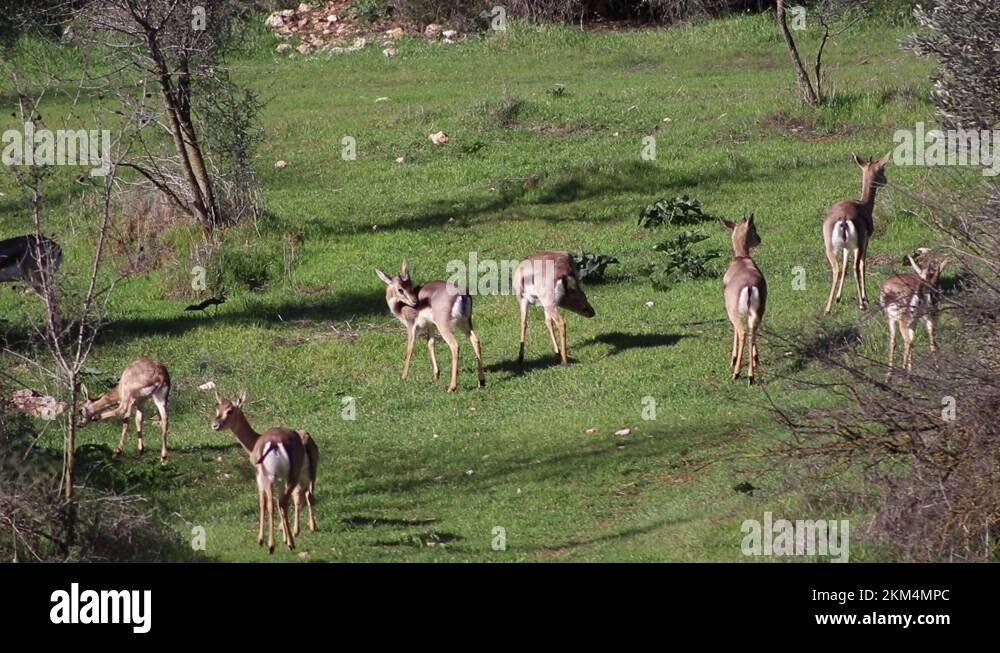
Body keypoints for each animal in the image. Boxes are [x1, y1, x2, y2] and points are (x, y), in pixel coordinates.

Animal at [211, 391, 319, 554]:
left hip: (270, 476)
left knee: (276, 502)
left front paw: (261, 540)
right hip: (305, 472)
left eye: (230, 410)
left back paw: (275, 543)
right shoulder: (281, 479)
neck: (253, 443)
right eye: (217, 408)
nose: (215, 425)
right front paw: (284, 536)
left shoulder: (258, 475)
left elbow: (262, 503)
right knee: (303, 495)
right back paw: (304, 531)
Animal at [375, 261, 485, 392]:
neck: (401, 306)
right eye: (400, 289)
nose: (414, 301)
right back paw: (481, 382)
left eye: (410, 285)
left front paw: (403, 377)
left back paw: (451, 387)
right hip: (465, 323)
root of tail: (461, 294)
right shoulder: (431, 326)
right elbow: (430, 344)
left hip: (445, 327)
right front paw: (435, 375)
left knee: (455, 345)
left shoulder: (411, 326)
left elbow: (410, 348)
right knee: (475, 340)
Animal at [722, 215, 767, 386]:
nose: (759, 239)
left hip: (735, 312)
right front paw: (756, 359)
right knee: (752, 331)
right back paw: (751, 374)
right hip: (758, 311)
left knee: (742, 332)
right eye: (754, 228)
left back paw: (737, 373)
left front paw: (733, 359)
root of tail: (749, 285)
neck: (741, 259)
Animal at [822, 153, 891, 314]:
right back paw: (861, 304)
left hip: (830, 248)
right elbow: (862, 265)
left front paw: (838, 298)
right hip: (859, 245)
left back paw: (828, 309)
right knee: (856, 267)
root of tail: (843, 218)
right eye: (882, 170)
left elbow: (845, 267)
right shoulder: (865, 241)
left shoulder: (847, 247)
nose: (885, 181)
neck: (864, 204)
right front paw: (865, 298)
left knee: (837, 269)